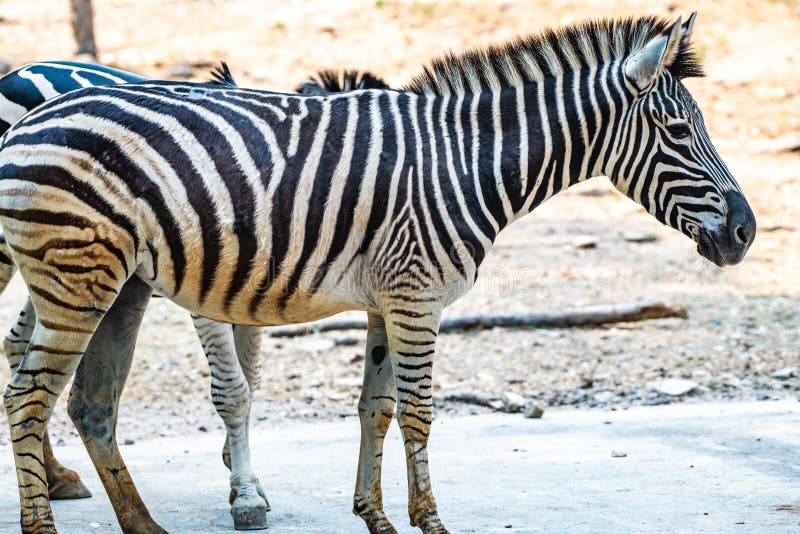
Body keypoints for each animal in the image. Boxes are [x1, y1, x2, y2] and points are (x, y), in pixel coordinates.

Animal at [0, 12, 755, 534]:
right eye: (680, 133)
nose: (747, 232)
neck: (465, 162)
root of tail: (26, 120)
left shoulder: (386, 301)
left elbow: (376, 408)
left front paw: (376, 516)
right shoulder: (419, 297)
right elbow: (418, 412)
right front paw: (431, 522)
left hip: (100, 280)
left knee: (77, 398)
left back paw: (139, 522)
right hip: (77, 279)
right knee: (29, 395)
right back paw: (44, 522)